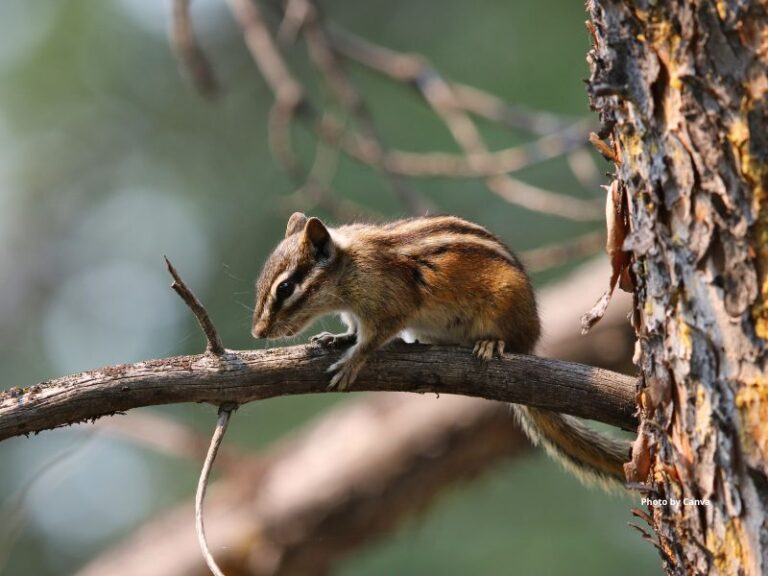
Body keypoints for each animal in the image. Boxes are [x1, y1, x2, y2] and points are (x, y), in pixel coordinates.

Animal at [252, 212, 629, 486]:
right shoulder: (357, 312)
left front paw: (354, 359)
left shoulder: (391, 304)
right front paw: (337, 339)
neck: (349, 269)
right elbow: (354, 330)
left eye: (285, 288)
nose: (257, 332)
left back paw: (492, 342)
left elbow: (374, 337)